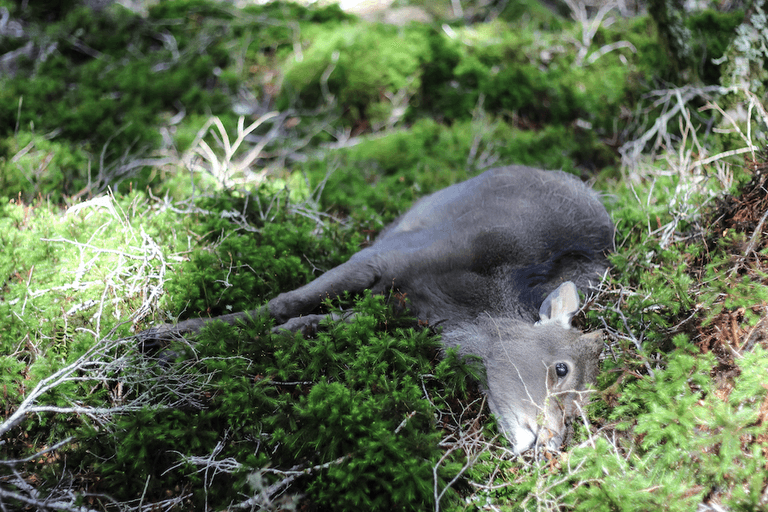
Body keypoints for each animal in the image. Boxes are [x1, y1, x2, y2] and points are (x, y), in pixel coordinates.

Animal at [141, 165, 614, 454]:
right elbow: (283, 302)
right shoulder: (381, 258)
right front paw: (166, 338)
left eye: (580, 409)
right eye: (561, 369)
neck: (460, 305)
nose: (553, 438)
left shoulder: (404, 315)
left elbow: (307, 324)